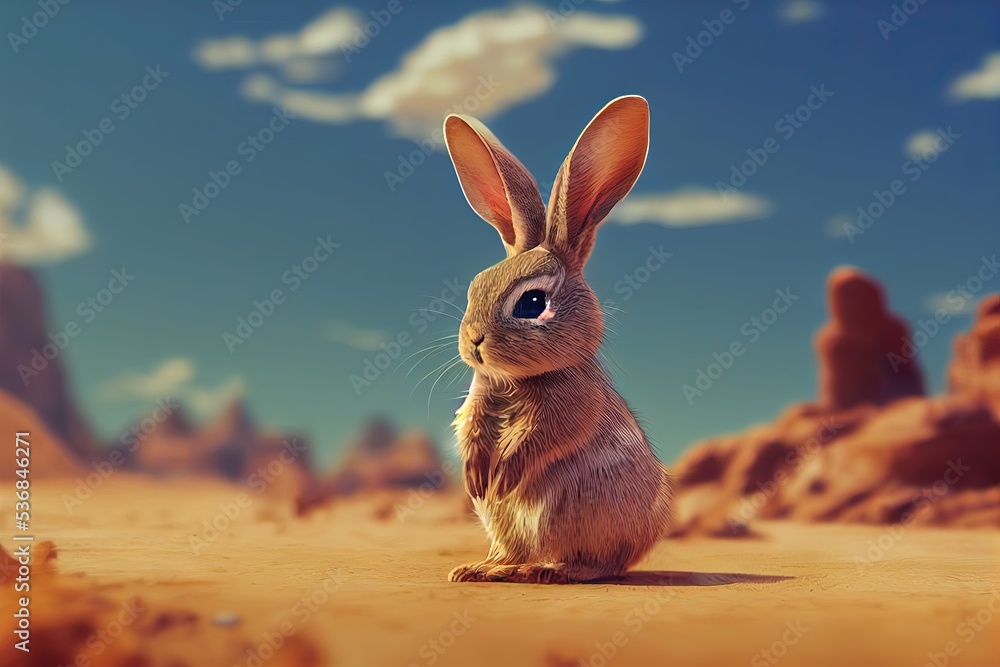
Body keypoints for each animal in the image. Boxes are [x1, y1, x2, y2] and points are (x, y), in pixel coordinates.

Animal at [442, 95, 673, 584]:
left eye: (532, 302)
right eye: (475, 287)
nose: (474, 343)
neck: (517, 378)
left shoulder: (570, 404)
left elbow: (539, 438)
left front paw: (502, 476)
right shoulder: (479, 397)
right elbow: (472, 430)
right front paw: (476, 478)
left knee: (594, 564)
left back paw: (544, 570)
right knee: (510, 550)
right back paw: (481, 568)